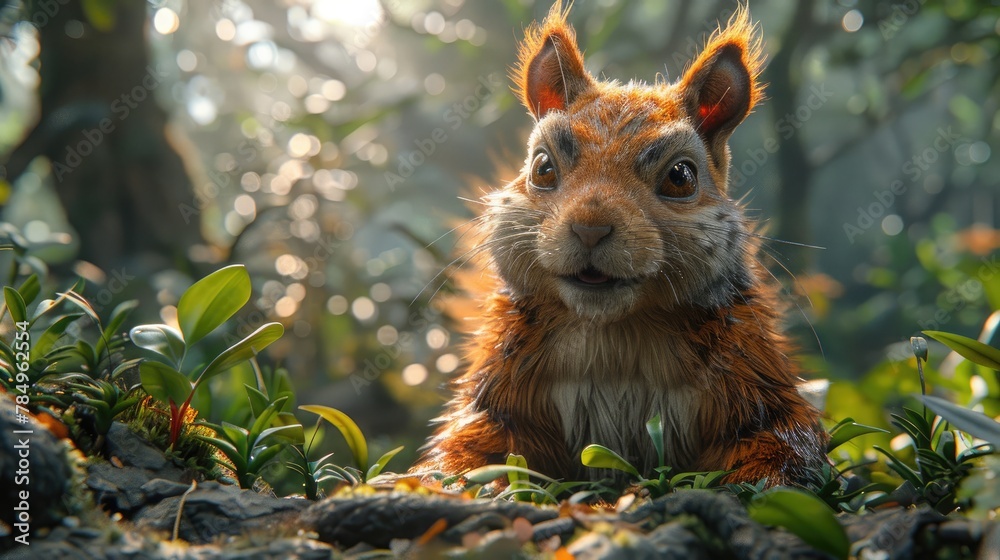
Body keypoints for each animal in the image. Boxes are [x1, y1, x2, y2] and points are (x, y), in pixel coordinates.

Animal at [411, 2, 829, 488]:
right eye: (542, 168)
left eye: (681, 177)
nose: (590, 228)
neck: (614, 335)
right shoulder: (505, 391)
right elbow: (475, 444)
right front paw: (437, 480)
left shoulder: (752, 379)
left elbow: (781, 440)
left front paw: (762, 483)